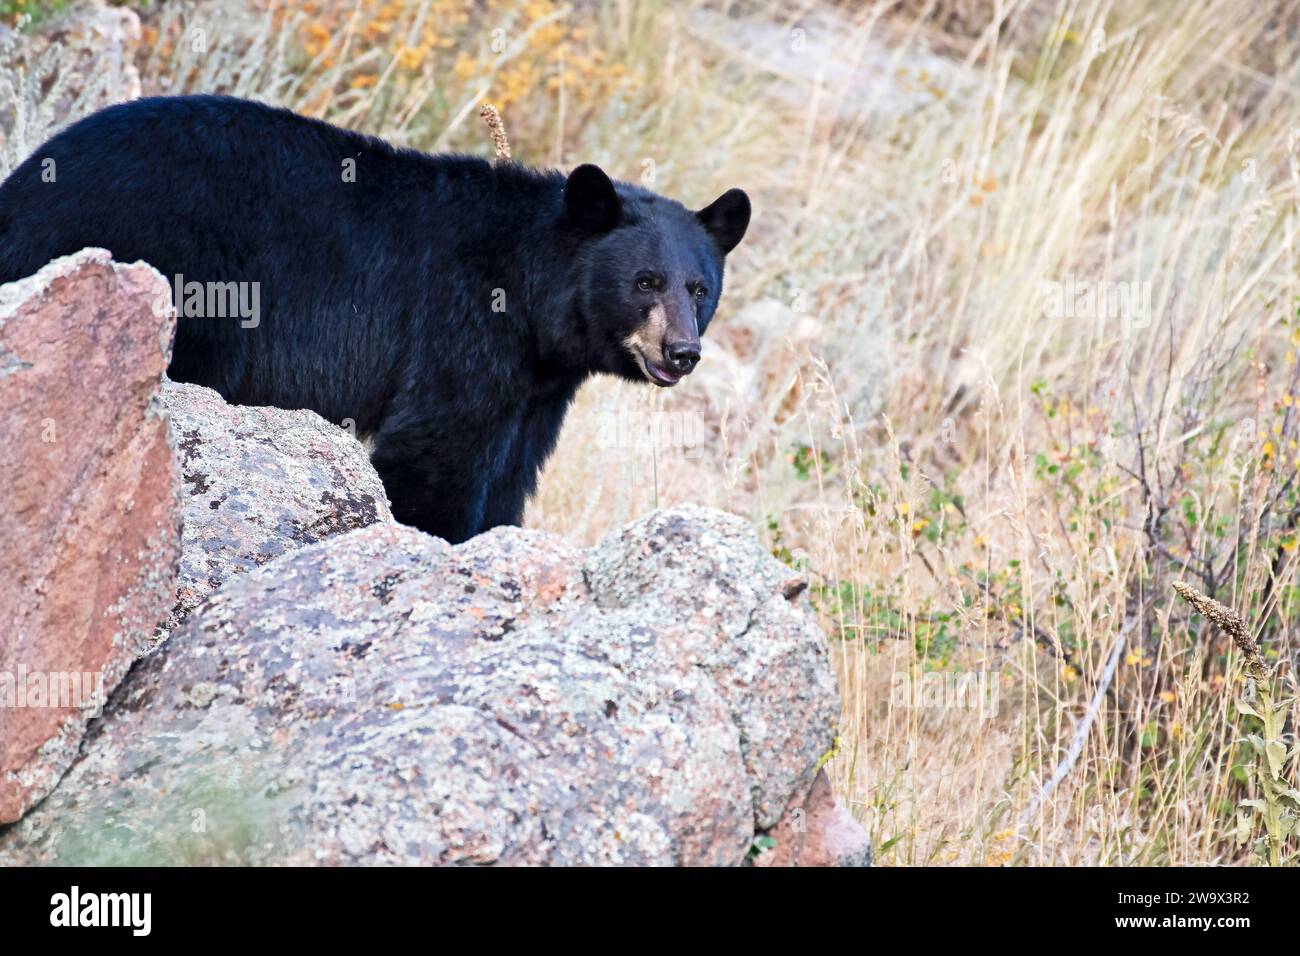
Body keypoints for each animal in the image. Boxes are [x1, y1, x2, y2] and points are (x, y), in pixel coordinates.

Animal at [0, 95, 750, 543]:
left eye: (700, 288)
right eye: (645, 281)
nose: (682, 352)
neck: (535, 303)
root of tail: (24, 184)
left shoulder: (537, 389)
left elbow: (510, 473)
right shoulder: (459, 325)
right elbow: (436, 450)